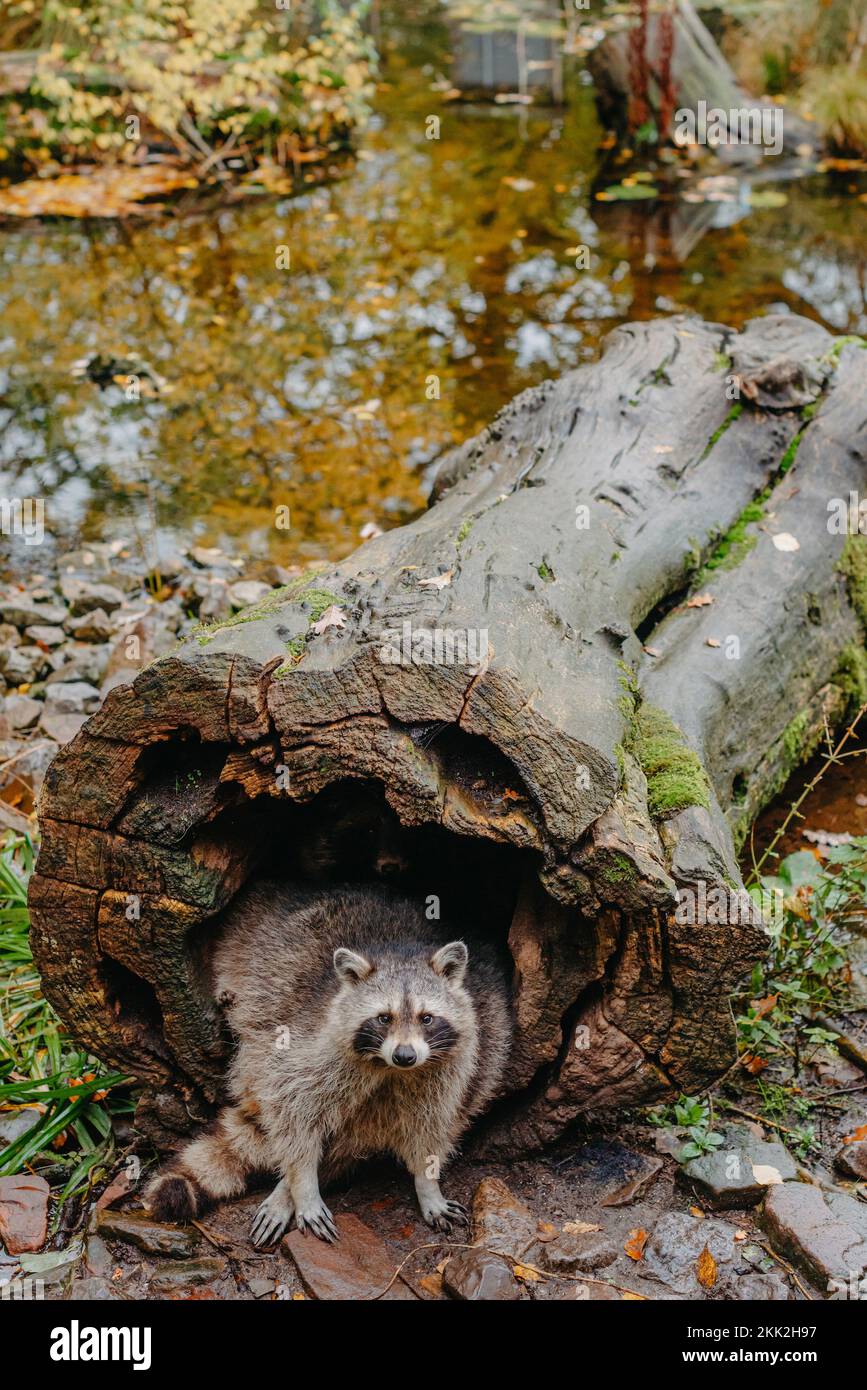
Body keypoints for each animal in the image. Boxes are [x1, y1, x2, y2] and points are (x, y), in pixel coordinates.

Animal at [145, 883, 513, 1245]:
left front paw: (427, 1184)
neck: (391, 1071)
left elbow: (432, 1127)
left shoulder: (455, 1069)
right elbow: (292, 1110)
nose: (405, 1056)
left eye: (427, 1018)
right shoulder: (308, 1045)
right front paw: (301, 1186)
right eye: (383, 1018)